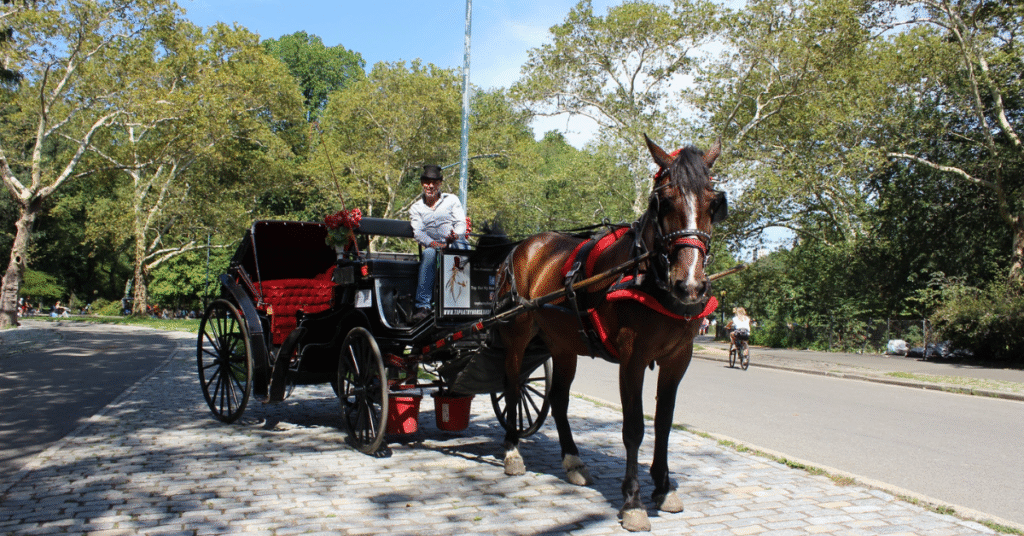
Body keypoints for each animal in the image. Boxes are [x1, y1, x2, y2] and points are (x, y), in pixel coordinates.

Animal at [493, 135, 727, 532]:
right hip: (518, 334)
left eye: (714, 203)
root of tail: (523, 247)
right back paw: (511, 449)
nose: (690, 285)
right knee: (512, 386)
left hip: (562, 345)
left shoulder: (678, 358)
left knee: (558, 399)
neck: (648, 276)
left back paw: (572, 460)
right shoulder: (632, 358)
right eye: (664, 202)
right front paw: (633, 501)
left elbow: (663, 422)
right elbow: (633, 427)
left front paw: (663, 487)